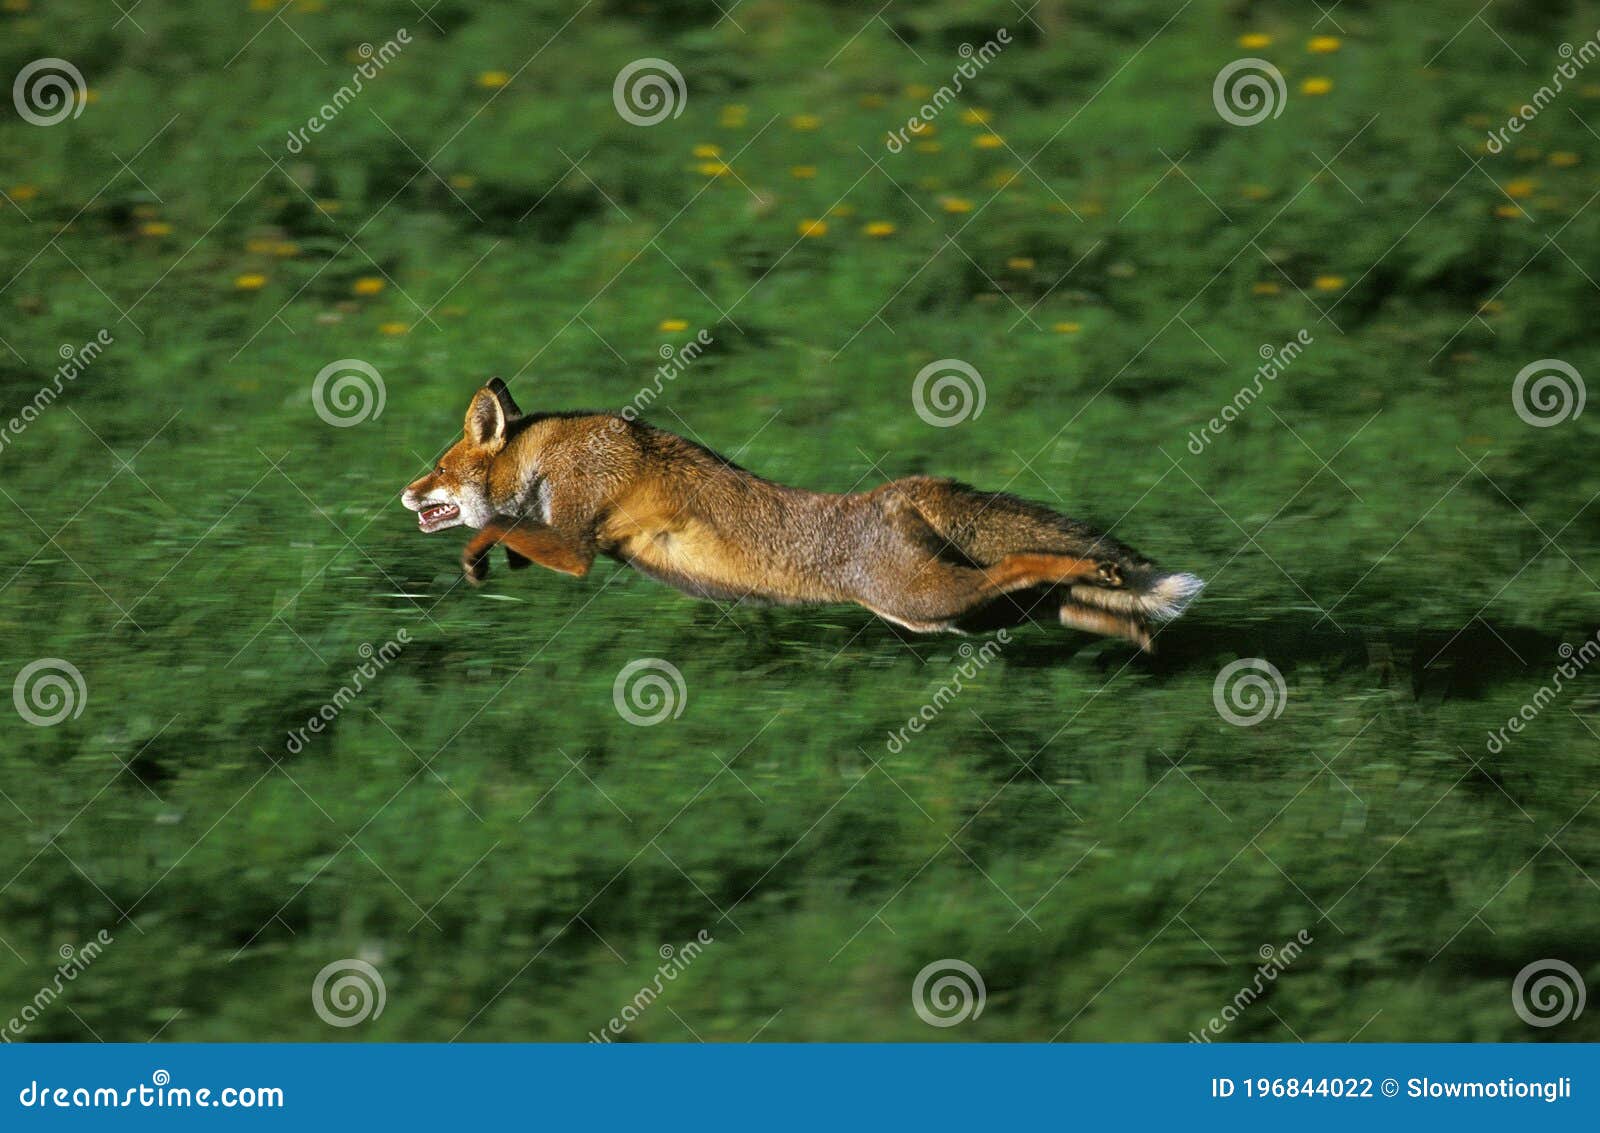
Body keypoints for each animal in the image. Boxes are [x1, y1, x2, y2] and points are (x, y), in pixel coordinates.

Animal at [400, 379, 1204, 650]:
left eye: (435, 468)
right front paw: (495, 560)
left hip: (930, 599)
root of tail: (897, 490)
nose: (404, 494)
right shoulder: (563, 538)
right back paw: (1133, 626)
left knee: (1031, 562)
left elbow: (501, 525)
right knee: (1056, 597)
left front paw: (477, 557)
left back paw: (1104, 577)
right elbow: (512, 532)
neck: (553, 455)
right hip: (956, 615)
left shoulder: (575, 547)